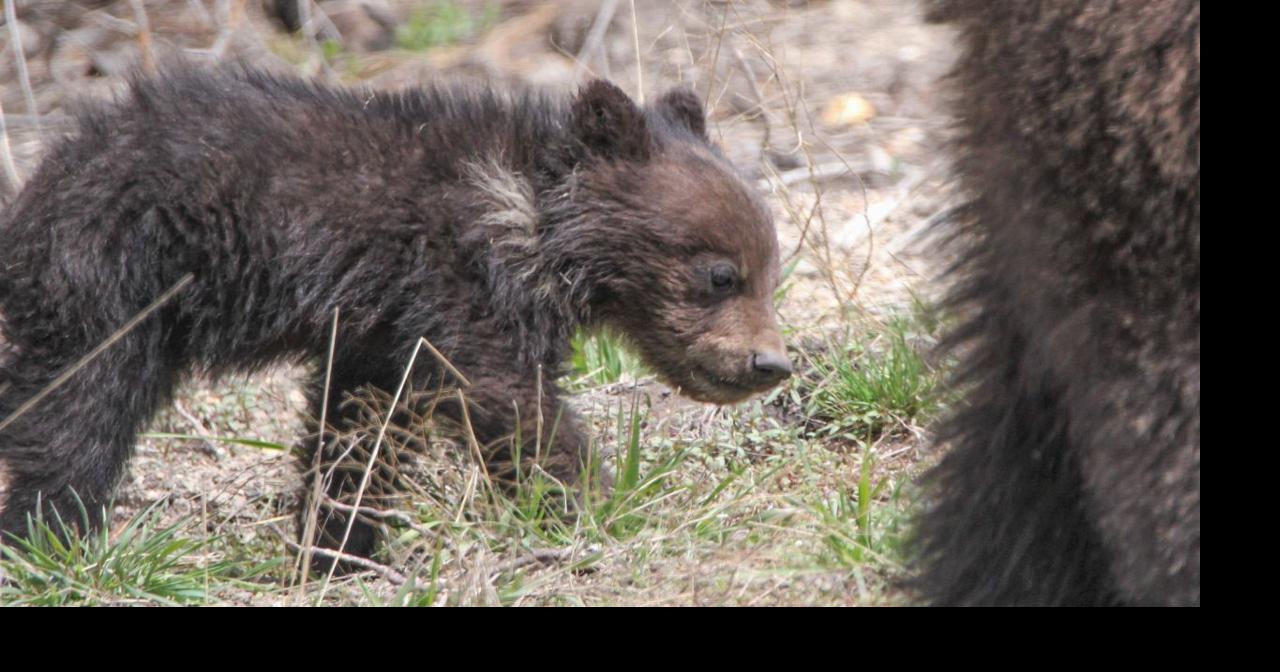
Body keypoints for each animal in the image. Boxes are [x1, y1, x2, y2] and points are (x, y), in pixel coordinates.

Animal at [0, 63, 791, 564]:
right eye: (722, 274)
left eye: (772, 270)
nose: (770, 363)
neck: (527, 222)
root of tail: (36, 188)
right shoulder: (456, 287)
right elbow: (510, 400)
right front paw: (597, 504)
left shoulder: (383, 331)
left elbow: (356, 431)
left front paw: (339, 547)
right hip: (110, 281)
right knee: (77, 414)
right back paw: (49, 536)